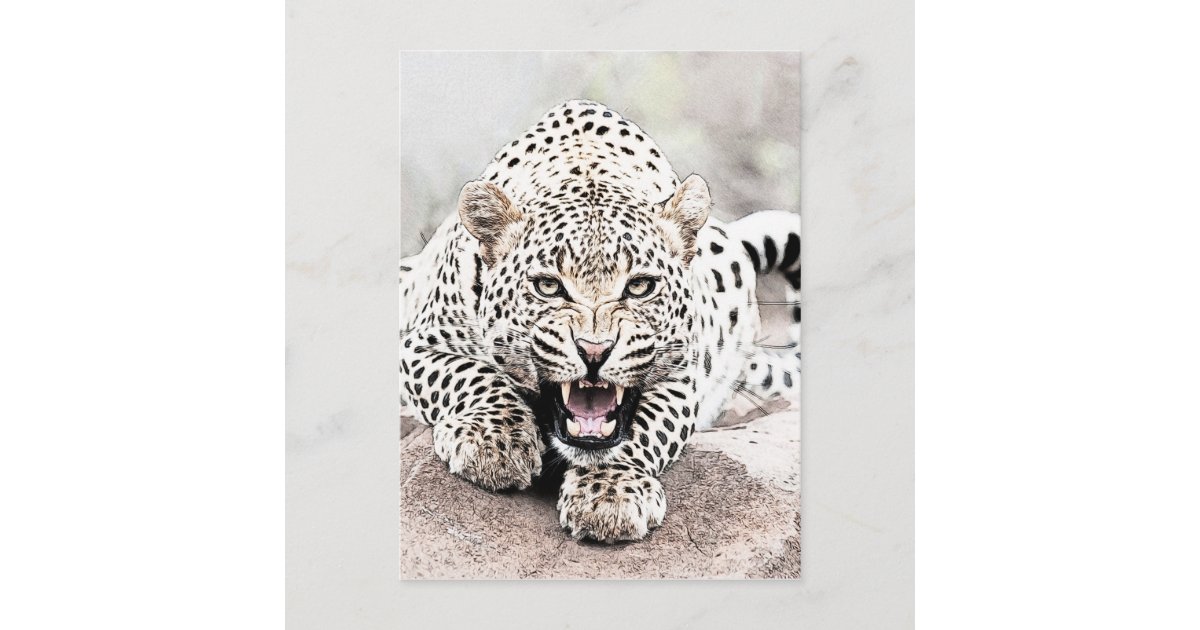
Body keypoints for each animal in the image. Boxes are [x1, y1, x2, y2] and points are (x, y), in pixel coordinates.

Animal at [400, 100, 800, 543]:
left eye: (640, 286)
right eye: (548, 286)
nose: (594, 351)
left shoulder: (684, 373)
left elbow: (647, 426)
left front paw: (610, 492)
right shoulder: (417, 344)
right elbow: (472, 376)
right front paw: (496, 441)